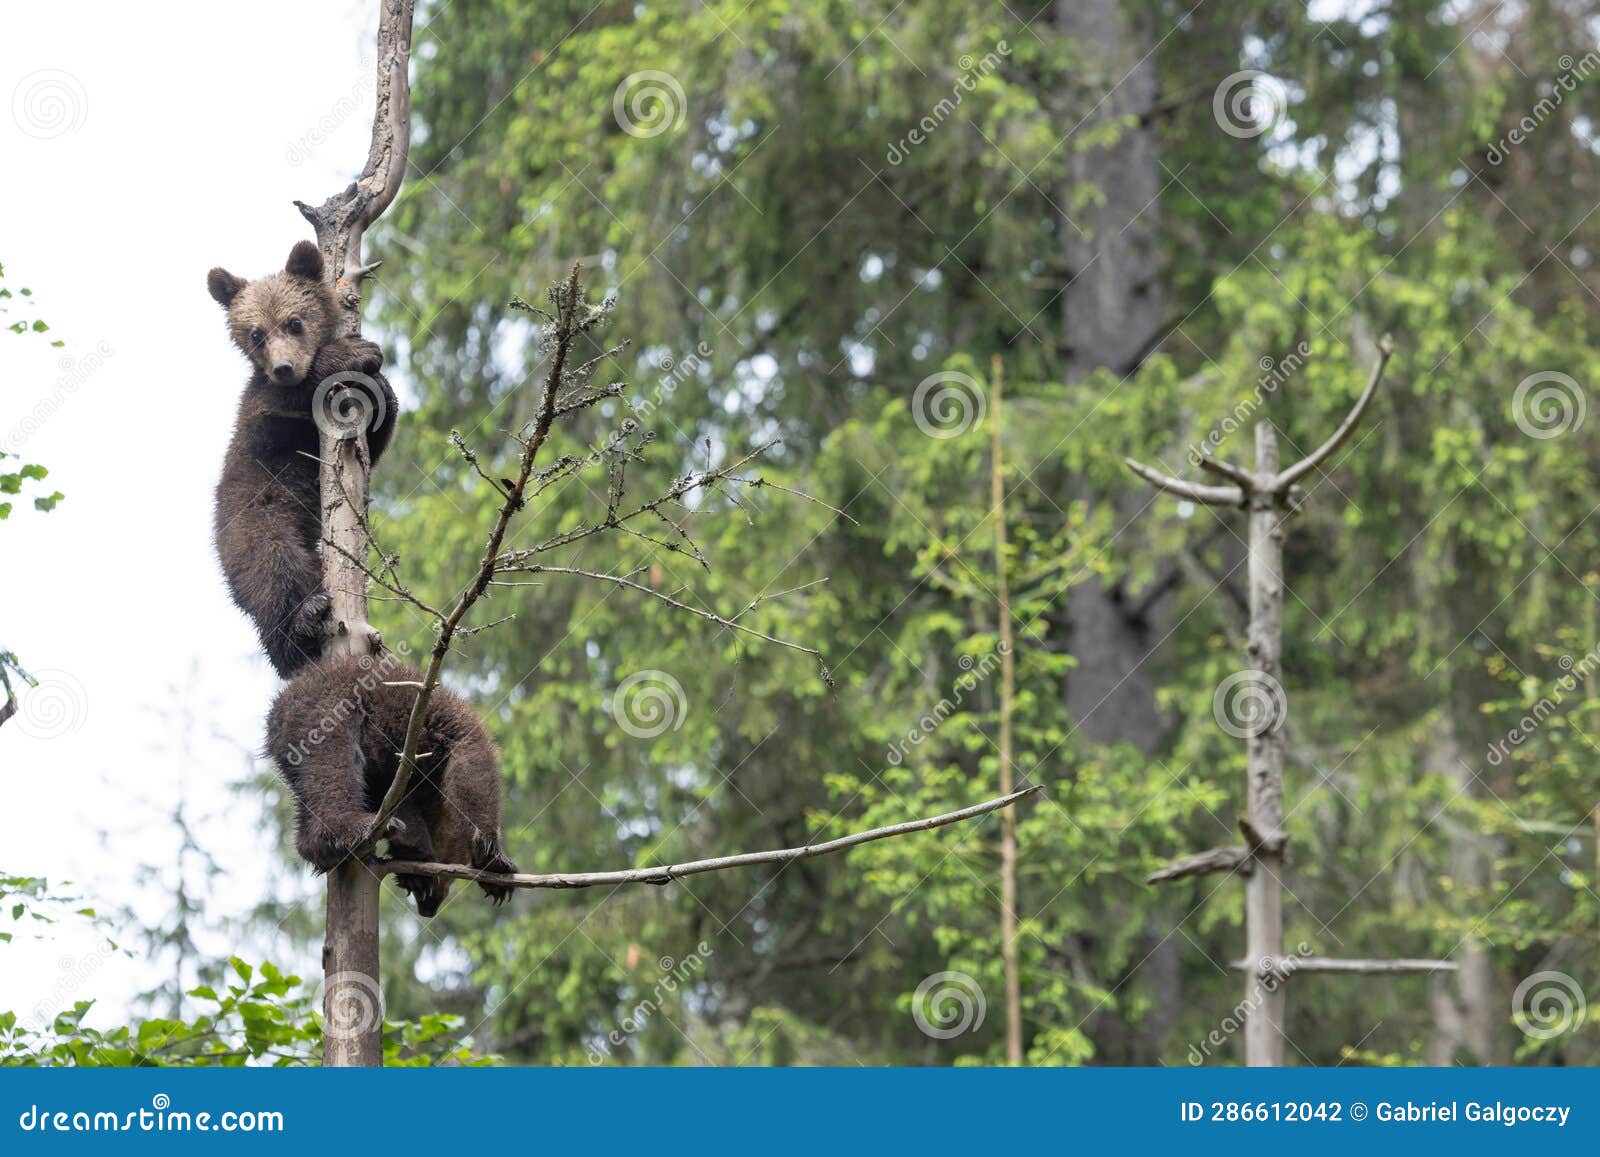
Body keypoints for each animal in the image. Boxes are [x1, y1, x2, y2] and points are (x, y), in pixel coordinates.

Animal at [208, 241, 397, 679]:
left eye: (294, 322)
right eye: (256, 333)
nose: (284, 367)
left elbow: (376, 436)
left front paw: (381, 385)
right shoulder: (259, 419)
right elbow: (273, 409)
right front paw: (353, 354)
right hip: (252, 519)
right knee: (274, 567)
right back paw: (304, 619)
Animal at [265, 652, 519, 917]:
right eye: (453, 870)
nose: (429, 908)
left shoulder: (394, 767)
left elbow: (394, 798)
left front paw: (415, 867)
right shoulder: (435, 725)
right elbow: (472, 763)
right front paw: (493, 858)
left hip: (292, 754)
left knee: (307, 795)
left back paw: (317, 847)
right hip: (327, 710)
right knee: (333, 767)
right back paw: (352, 827)